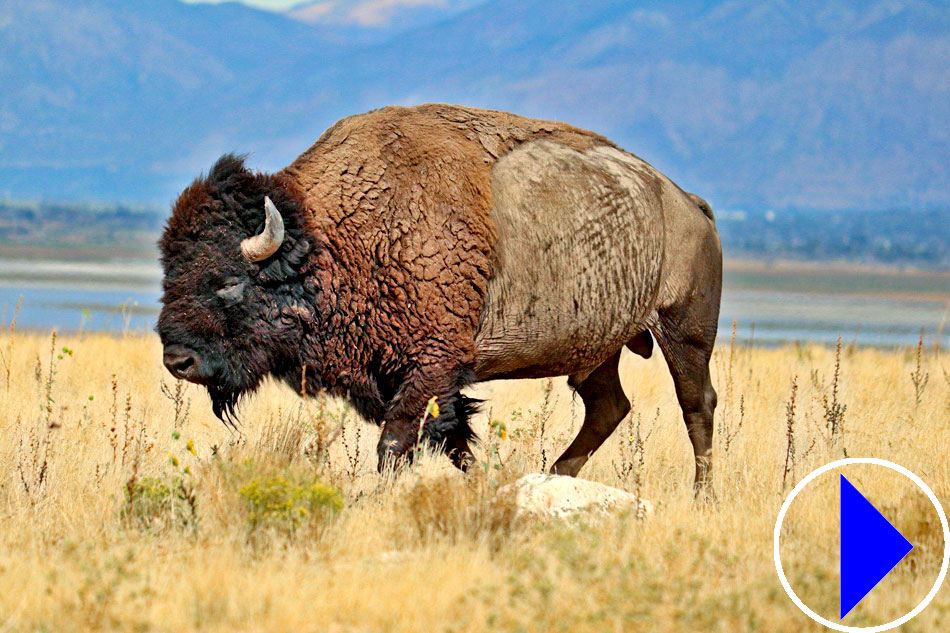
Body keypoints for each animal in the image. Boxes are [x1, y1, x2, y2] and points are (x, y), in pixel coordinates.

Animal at [157, 104, 721, 490]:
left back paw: (702, 496)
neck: (335, 238)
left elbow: (397, 441)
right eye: (170, 272)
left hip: (684, 331)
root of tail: (688, 202)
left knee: (697, 404)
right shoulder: (404, 375)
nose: (177, 359)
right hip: (596, 350)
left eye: (227, 281)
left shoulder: (430, 365)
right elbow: (453, 439)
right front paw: (480, 484)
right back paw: (558, 474)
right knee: (609, 407)